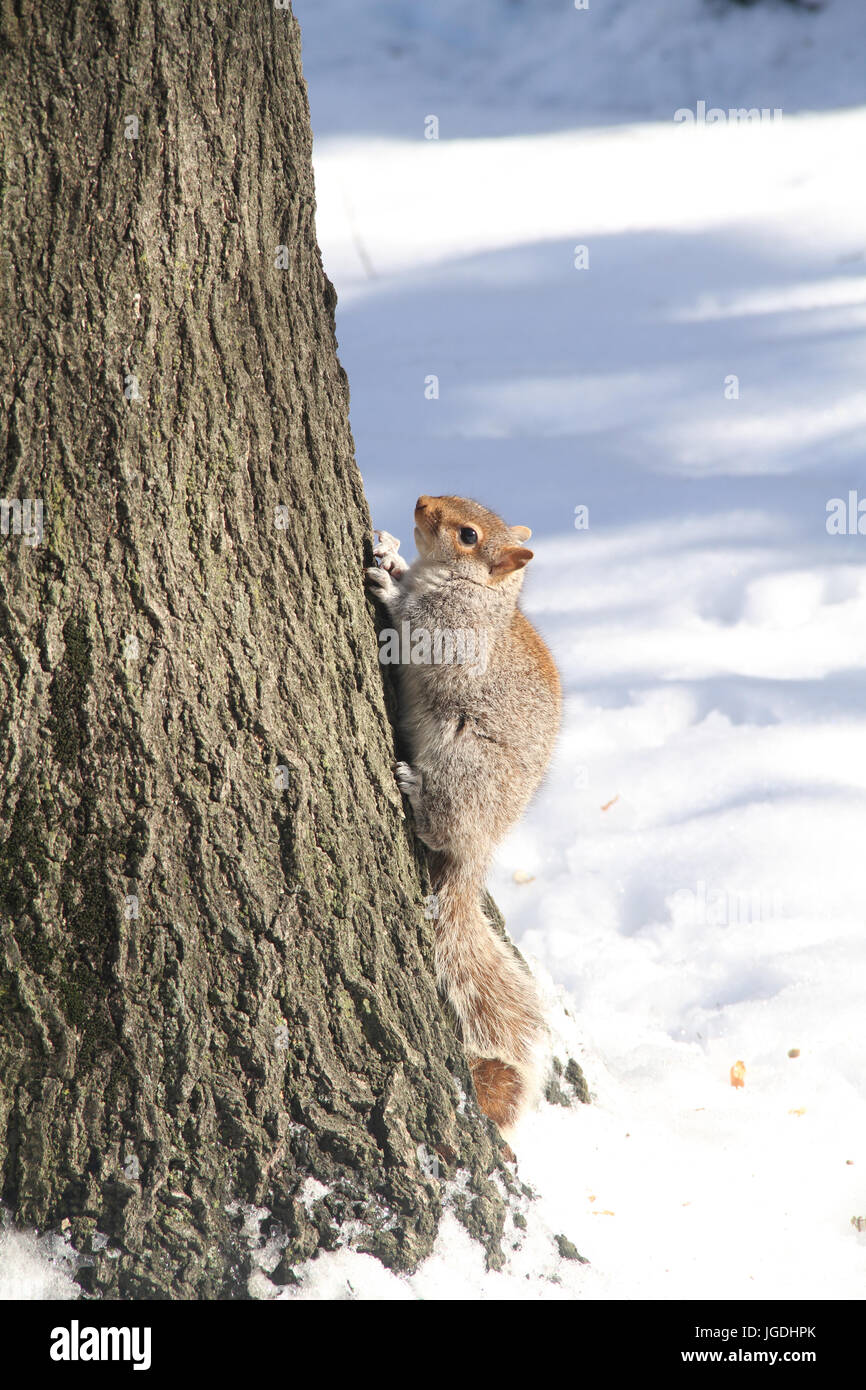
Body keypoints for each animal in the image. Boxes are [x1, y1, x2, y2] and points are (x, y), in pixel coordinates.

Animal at [366, 495, 561, 1136]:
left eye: (469, 535)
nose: (421, 501)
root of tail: (482, 848)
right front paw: (391, 556)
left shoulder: (452, 630)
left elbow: (417, 629)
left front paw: (387, 585)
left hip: (464, 770)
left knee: (441, 826)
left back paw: (414, 793)